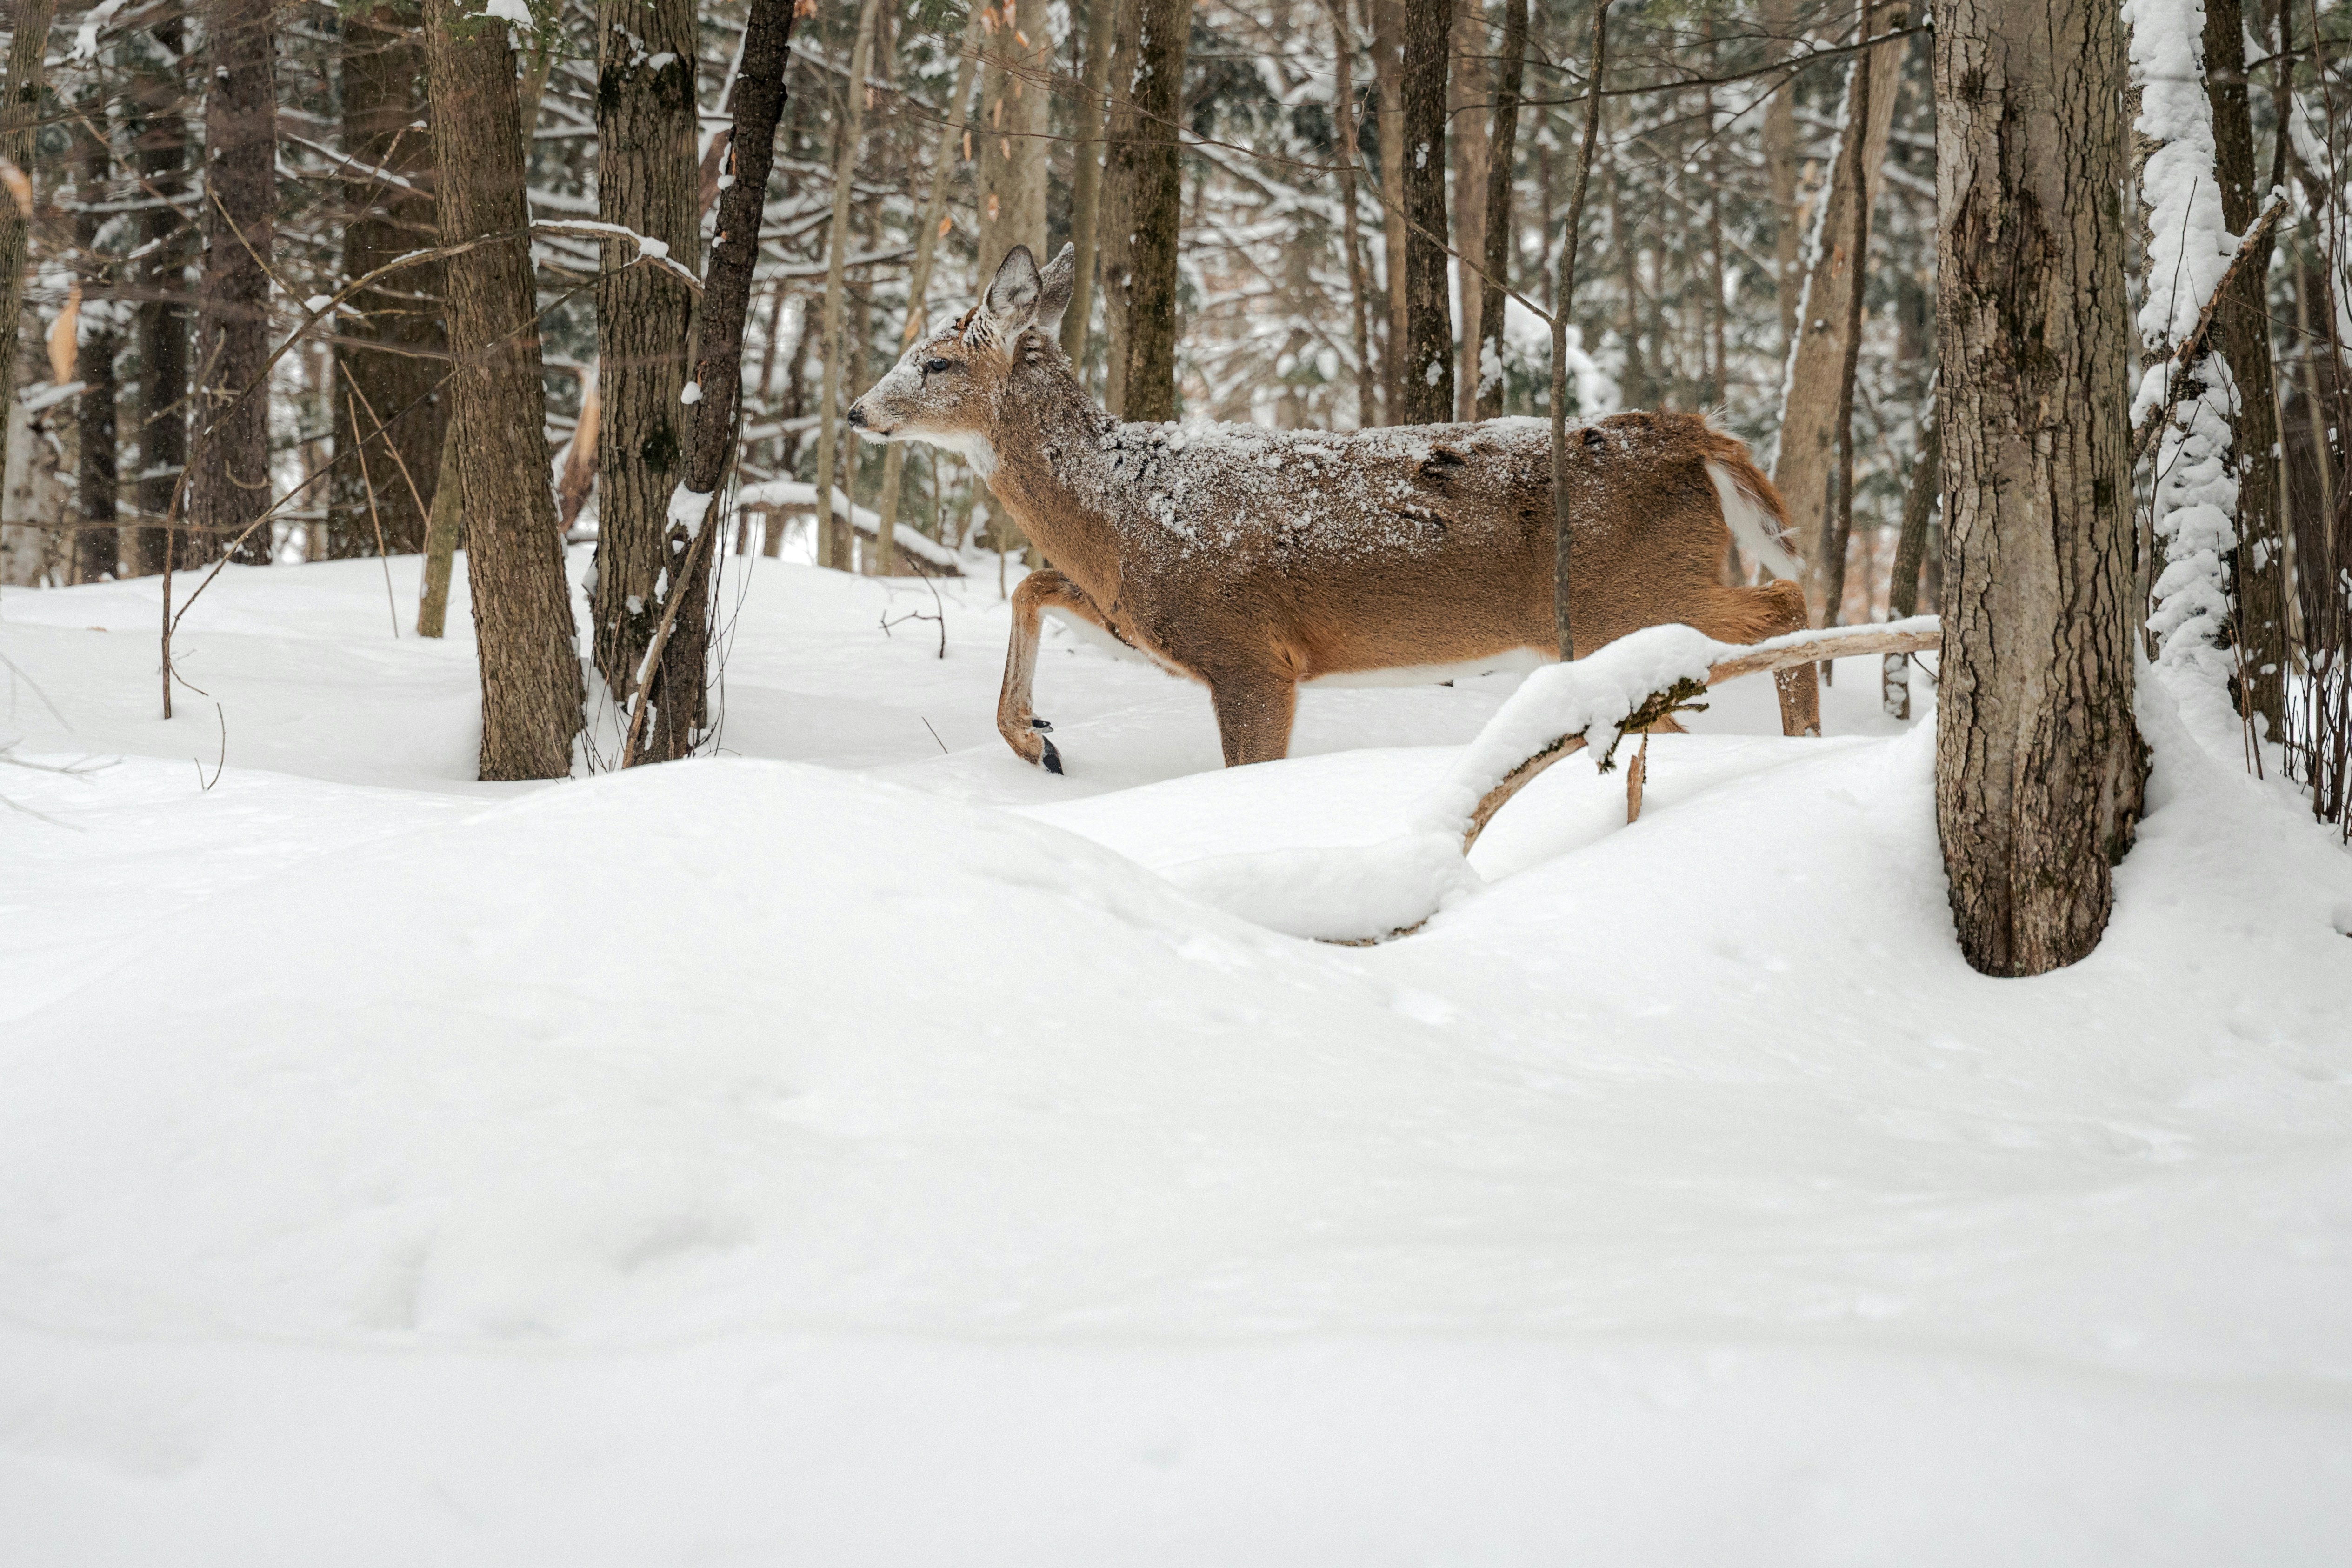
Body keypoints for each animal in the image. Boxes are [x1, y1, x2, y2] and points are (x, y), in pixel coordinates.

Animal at [847, 244, 1818, 774]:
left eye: (934, 363)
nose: (857, 410)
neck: (1127, 515)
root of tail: (1694, 434)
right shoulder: (1145, 620)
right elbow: (1032, 586)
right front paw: (1035, 740)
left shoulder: (1247, 647)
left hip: (1635, 590)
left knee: (1787, 602)